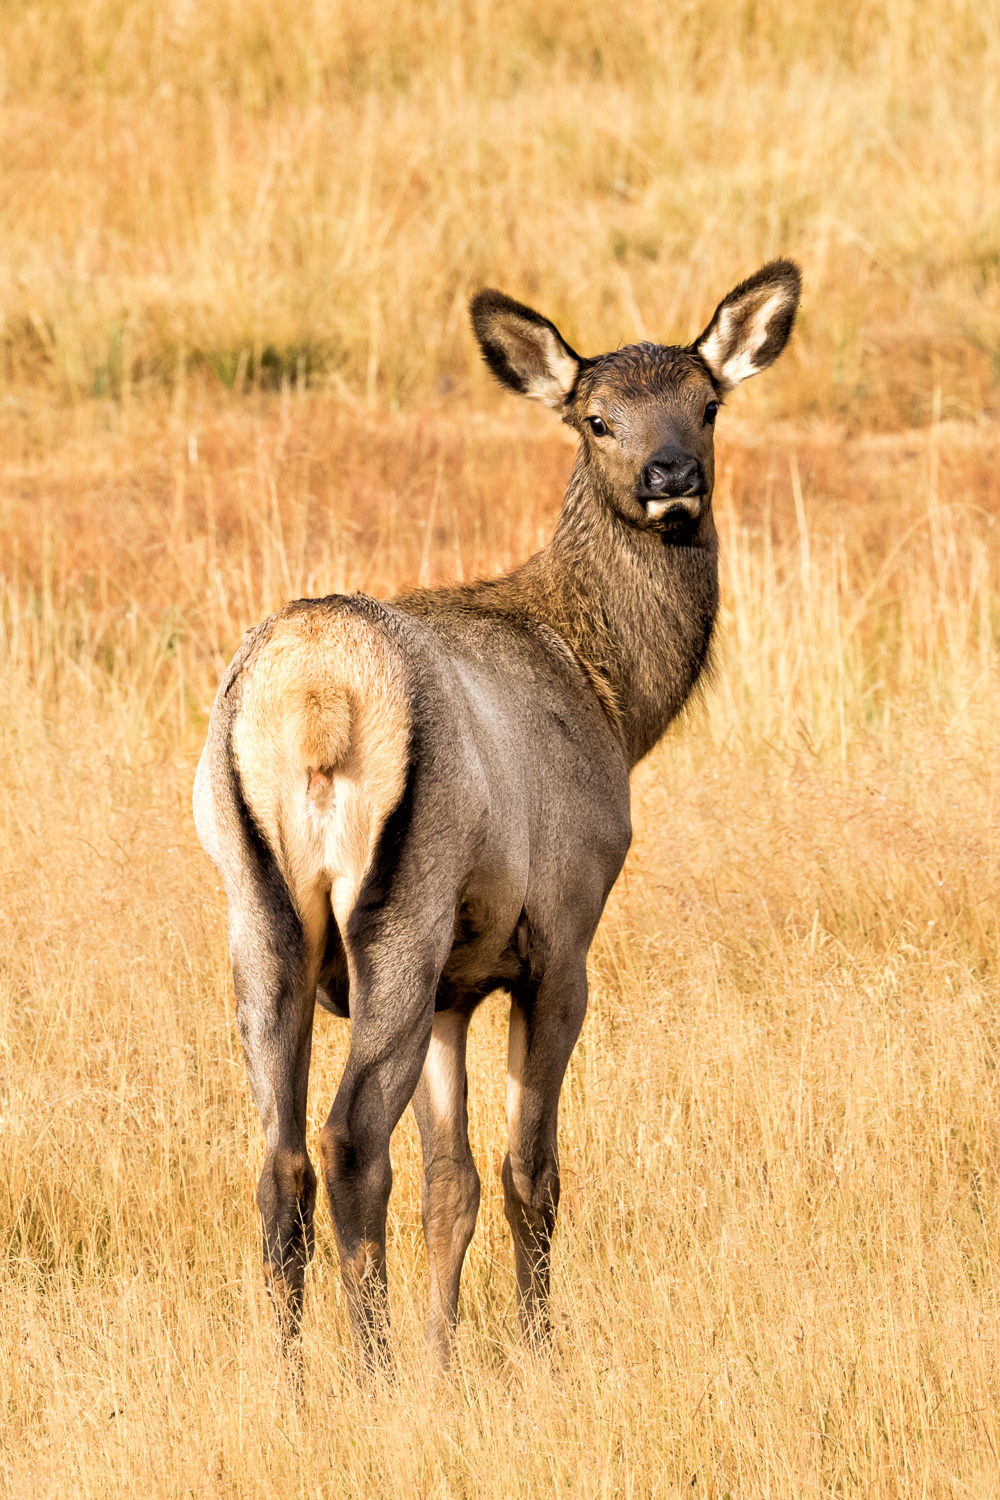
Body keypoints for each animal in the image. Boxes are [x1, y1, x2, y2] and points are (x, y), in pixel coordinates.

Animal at [193, 260, 801, 1376]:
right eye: (597, 418)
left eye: (707, 404)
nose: (671, 478)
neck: (615, 699)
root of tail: (312, 691)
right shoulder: (559, 934)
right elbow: (529, 1172)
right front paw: (532, 1351)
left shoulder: (454, 989)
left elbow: (453, 1182)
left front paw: (446, 1355)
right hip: (400, 899)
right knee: (349, 1138)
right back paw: (372, 1370)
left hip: (257, 905)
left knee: (279, 1156)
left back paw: (292, 1377)